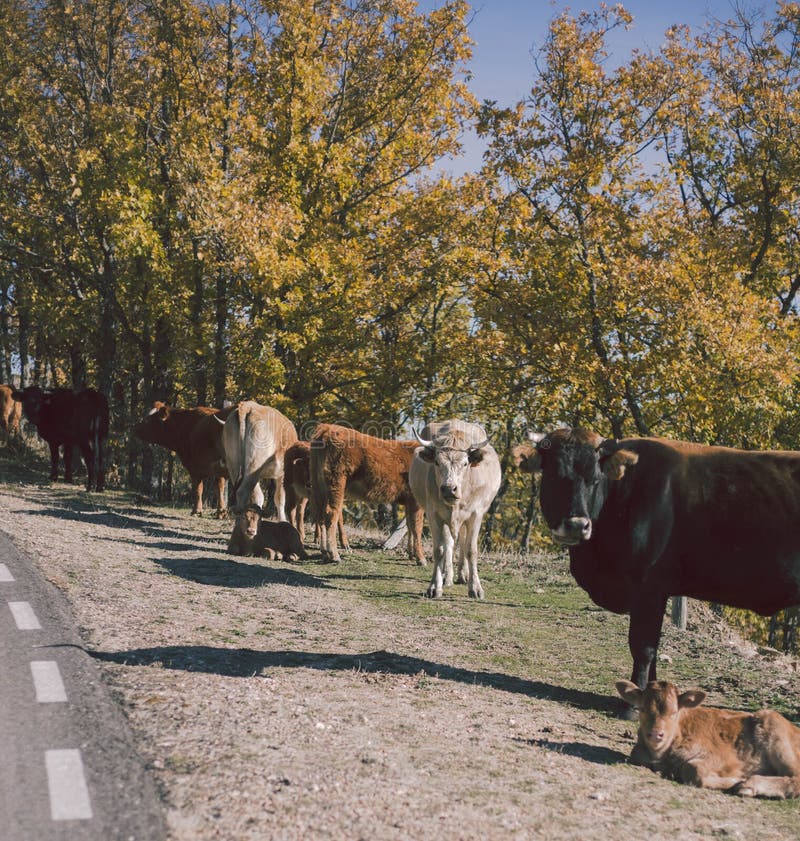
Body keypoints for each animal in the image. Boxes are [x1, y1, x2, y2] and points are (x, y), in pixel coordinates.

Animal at [310, 423, 425, 564]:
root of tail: (327, 428)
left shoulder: (409, 501)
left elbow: (409, 525)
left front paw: (411, 554)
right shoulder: (416, 501)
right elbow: (417, 527)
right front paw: (421, 558)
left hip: (318, 484)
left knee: (320, 514)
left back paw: (325, 552)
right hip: (336, 481)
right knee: (331, 513)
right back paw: (334, 554)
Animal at [409, 419, 501, 600]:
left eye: (465, 463)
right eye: (437, 462)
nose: (449, 489)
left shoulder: (476, 515)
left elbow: (471, 550)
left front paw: (476, 588)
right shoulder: (434, 514)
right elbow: (439, 550)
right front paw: (434, 587)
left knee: (463, 543)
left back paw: (463, 575)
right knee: (449, 544)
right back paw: (448, 576)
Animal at [524, 426, 800, 711]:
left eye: (595, 479)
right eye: (555, 475)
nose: (577, 525)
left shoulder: (649, 586)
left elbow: (643, 646)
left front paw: (633, 706)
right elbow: (651, 648)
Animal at [616, 679, 800, 798]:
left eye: (674, 712)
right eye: (641, 709)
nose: (656, 734)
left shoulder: (723, 758)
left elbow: (692, 769)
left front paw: (737, 780)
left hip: (778, 735)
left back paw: (748, 785)